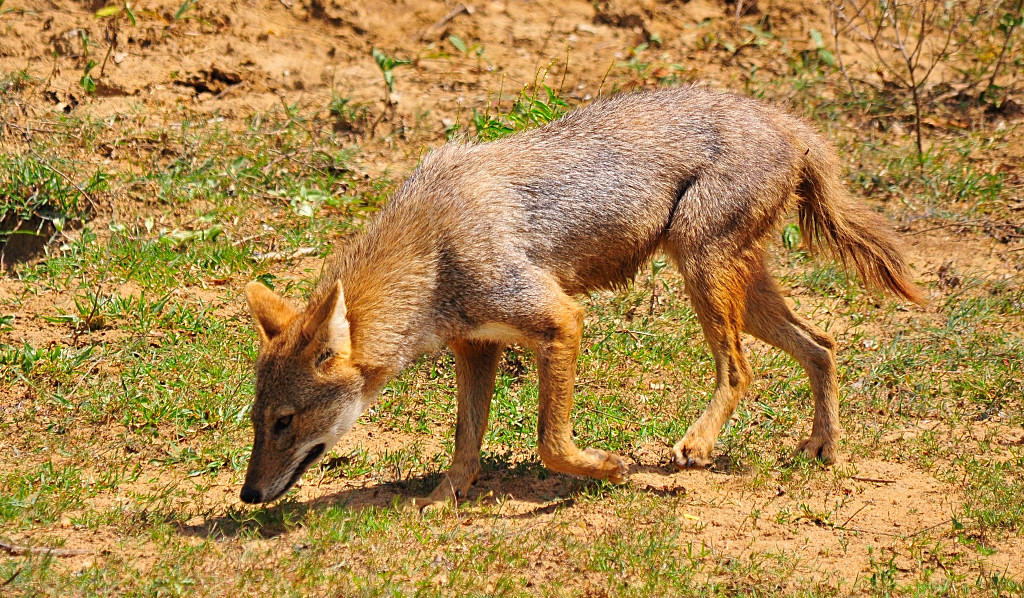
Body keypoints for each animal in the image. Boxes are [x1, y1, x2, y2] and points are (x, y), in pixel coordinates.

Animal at [238, 85, 924, 507]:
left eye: (283, 422)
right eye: (255, 421)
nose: (248, 495)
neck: (433, 252)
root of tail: (790, 122)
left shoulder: (562, 320)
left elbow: (551, 441)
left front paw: (608, 469)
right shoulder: (476, 348)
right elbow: (465, 440)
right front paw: (442, 499)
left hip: (701, 276)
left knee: (740, 370)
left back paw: (697, 446)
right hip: (735, 288)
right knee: (822, 345)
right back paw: (822, 449)